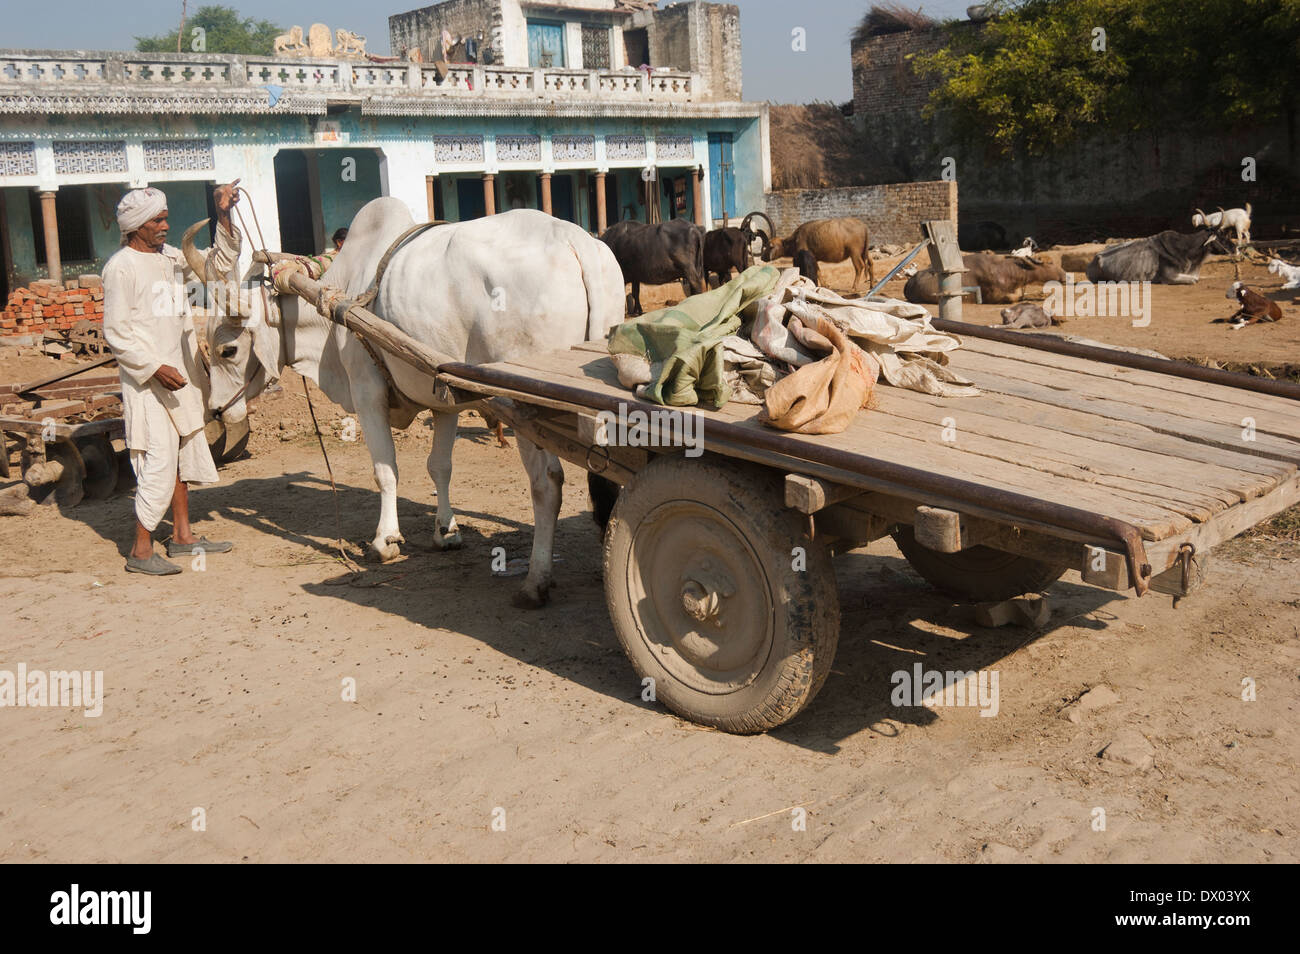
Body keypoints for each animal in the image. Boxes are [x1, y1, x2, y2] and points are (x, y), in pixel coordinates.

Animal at [188, 199, 626, 607]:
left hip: (524, 407)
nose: (217, 411)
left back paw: (535, 581)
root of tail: (574, 241)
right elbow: (440, 467)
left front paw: (385, 542)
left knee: (546, 484)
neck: (340, 299)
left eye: (228, 350)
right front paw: (446, 531)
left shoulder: (367, 394)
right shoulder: (444, 399)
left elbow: (386, 470)